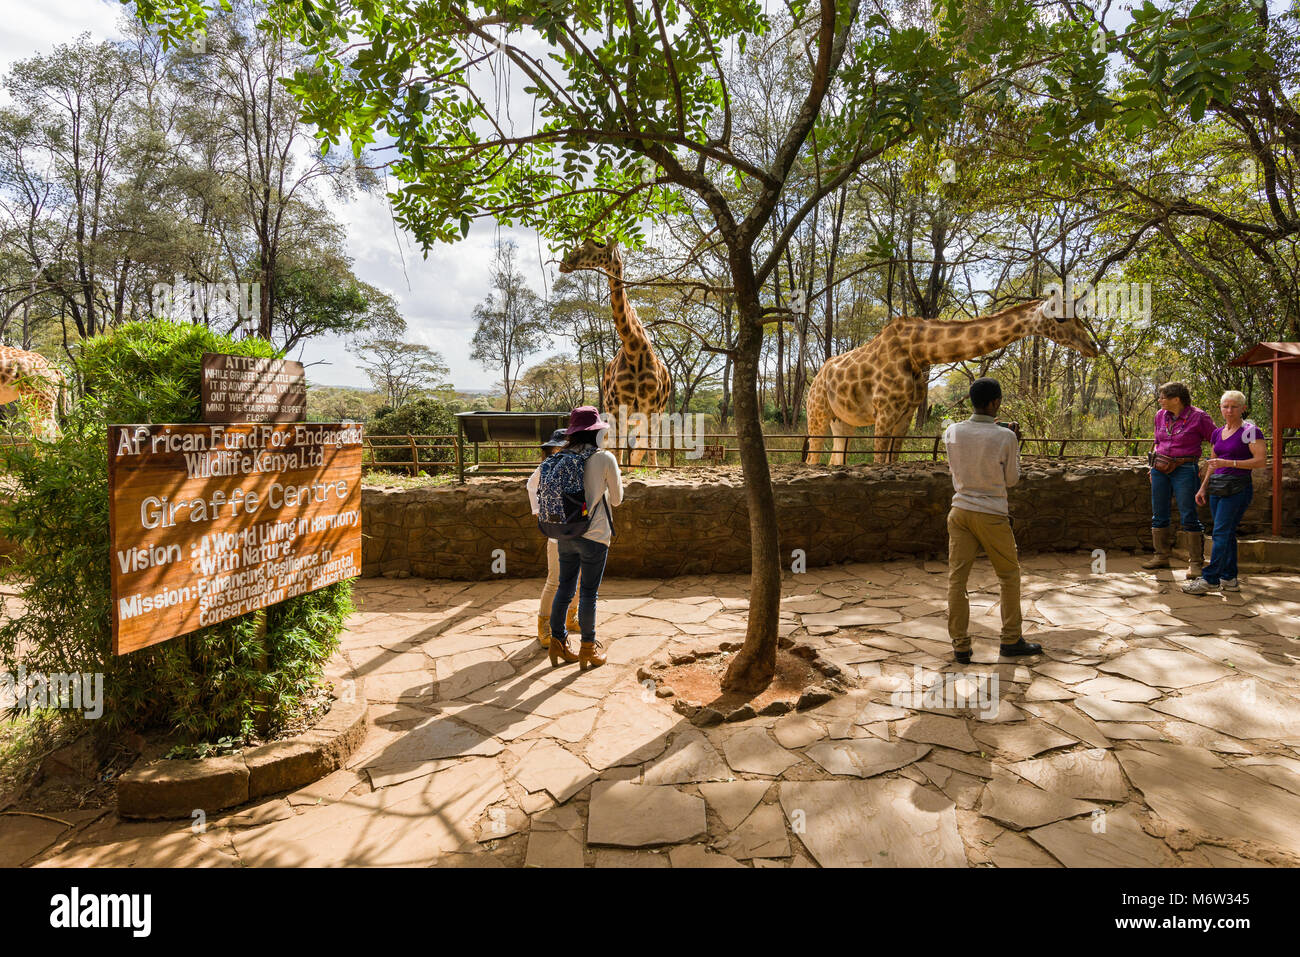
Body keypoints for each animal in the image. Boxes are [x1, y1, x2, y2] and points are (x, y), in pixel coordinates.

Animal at [558, 239, 672, 466]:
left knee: (641, 448)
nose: (565, 262)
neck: (634, 348)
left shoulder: (651, 409)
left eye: (599, 244)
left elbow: (649, 456)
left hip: (650, 414)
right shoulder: (619, 408)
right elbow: (619, 453)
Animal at [804, 299, 1098, 465]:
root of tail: (816, 379)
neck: (917, 352)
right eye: (1061, 317)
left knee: (834, 460)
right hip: (817, 413)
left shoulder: (905, 414)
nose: (1092, 347)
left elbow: (891, 461)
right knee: (812, 459)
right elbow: (878, 462)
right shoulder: (884, 412)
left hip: (841, 421)